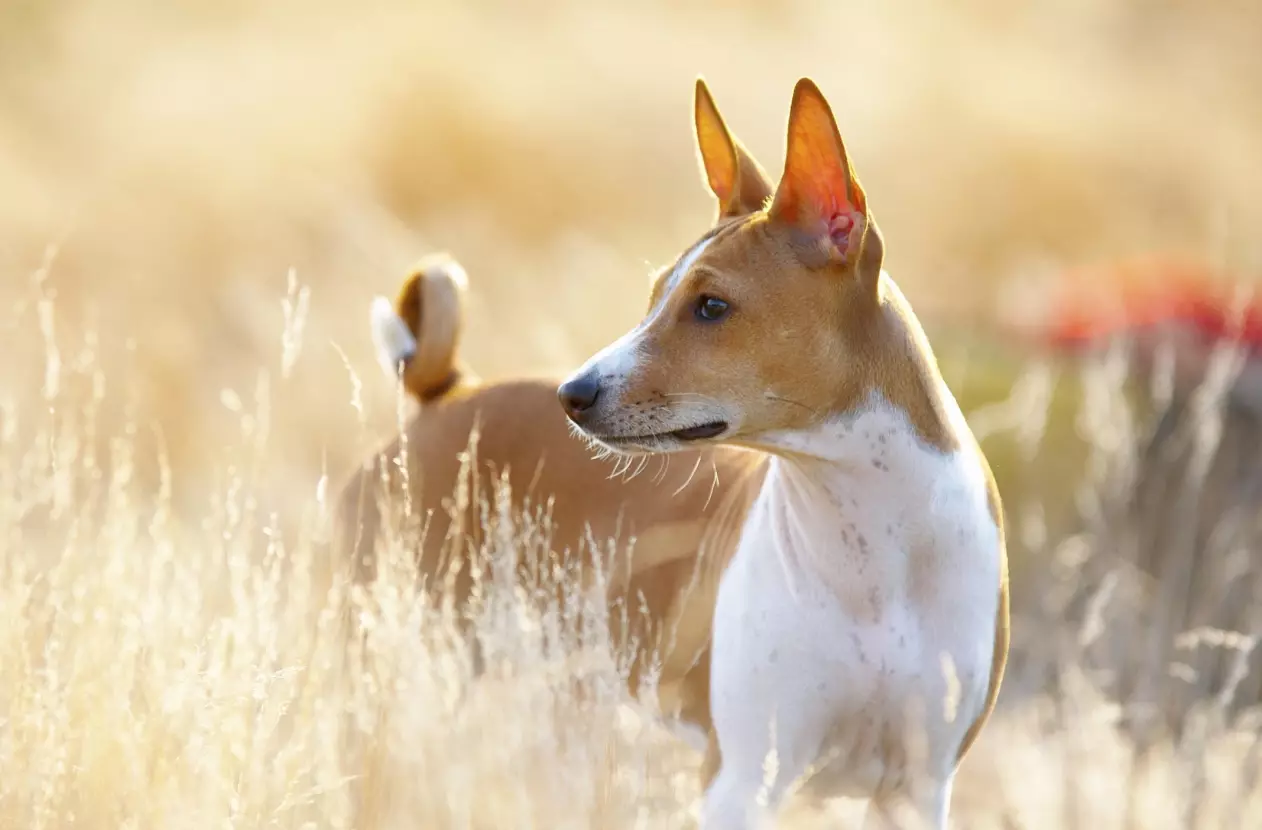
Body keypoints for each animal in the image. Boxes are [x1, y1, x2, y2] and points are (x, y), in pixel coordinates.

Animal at [557, 75, 1009, 822]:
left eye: (711, 306)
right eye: (654, 297)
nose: (572, 393)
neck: (871, 553)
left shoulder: (918, 789)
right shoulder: (743, 779)